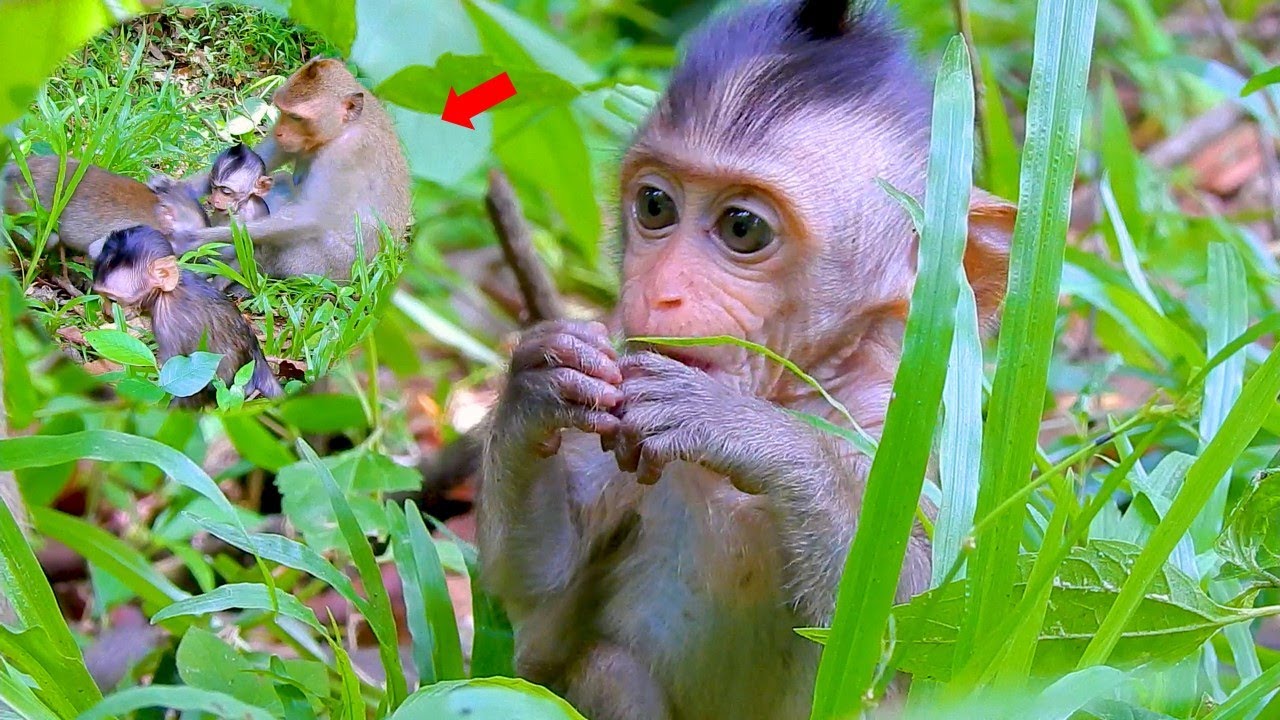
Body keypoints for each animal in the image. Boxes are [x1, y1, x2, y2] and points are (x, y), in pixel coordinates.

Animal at [166, 58, 412, 282]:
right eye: (282, 111)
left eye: (296, 117)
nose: (280, 131)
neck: (343, 128)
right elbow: (261, 159)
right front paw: (174, 186)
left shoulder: (344, 153)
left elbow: (308, 216)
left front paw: (193, 238)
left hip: (325, 268)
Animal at [475, 2, 1017, 719]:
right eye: (655, 206)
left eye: (742, 227)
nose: (659, 290)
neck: (796, 386)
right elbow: (539, 588)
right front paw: (538, 383)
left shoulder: (909, 420)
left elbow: (914, 635)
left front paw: (742, 429)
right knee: (607, 670)